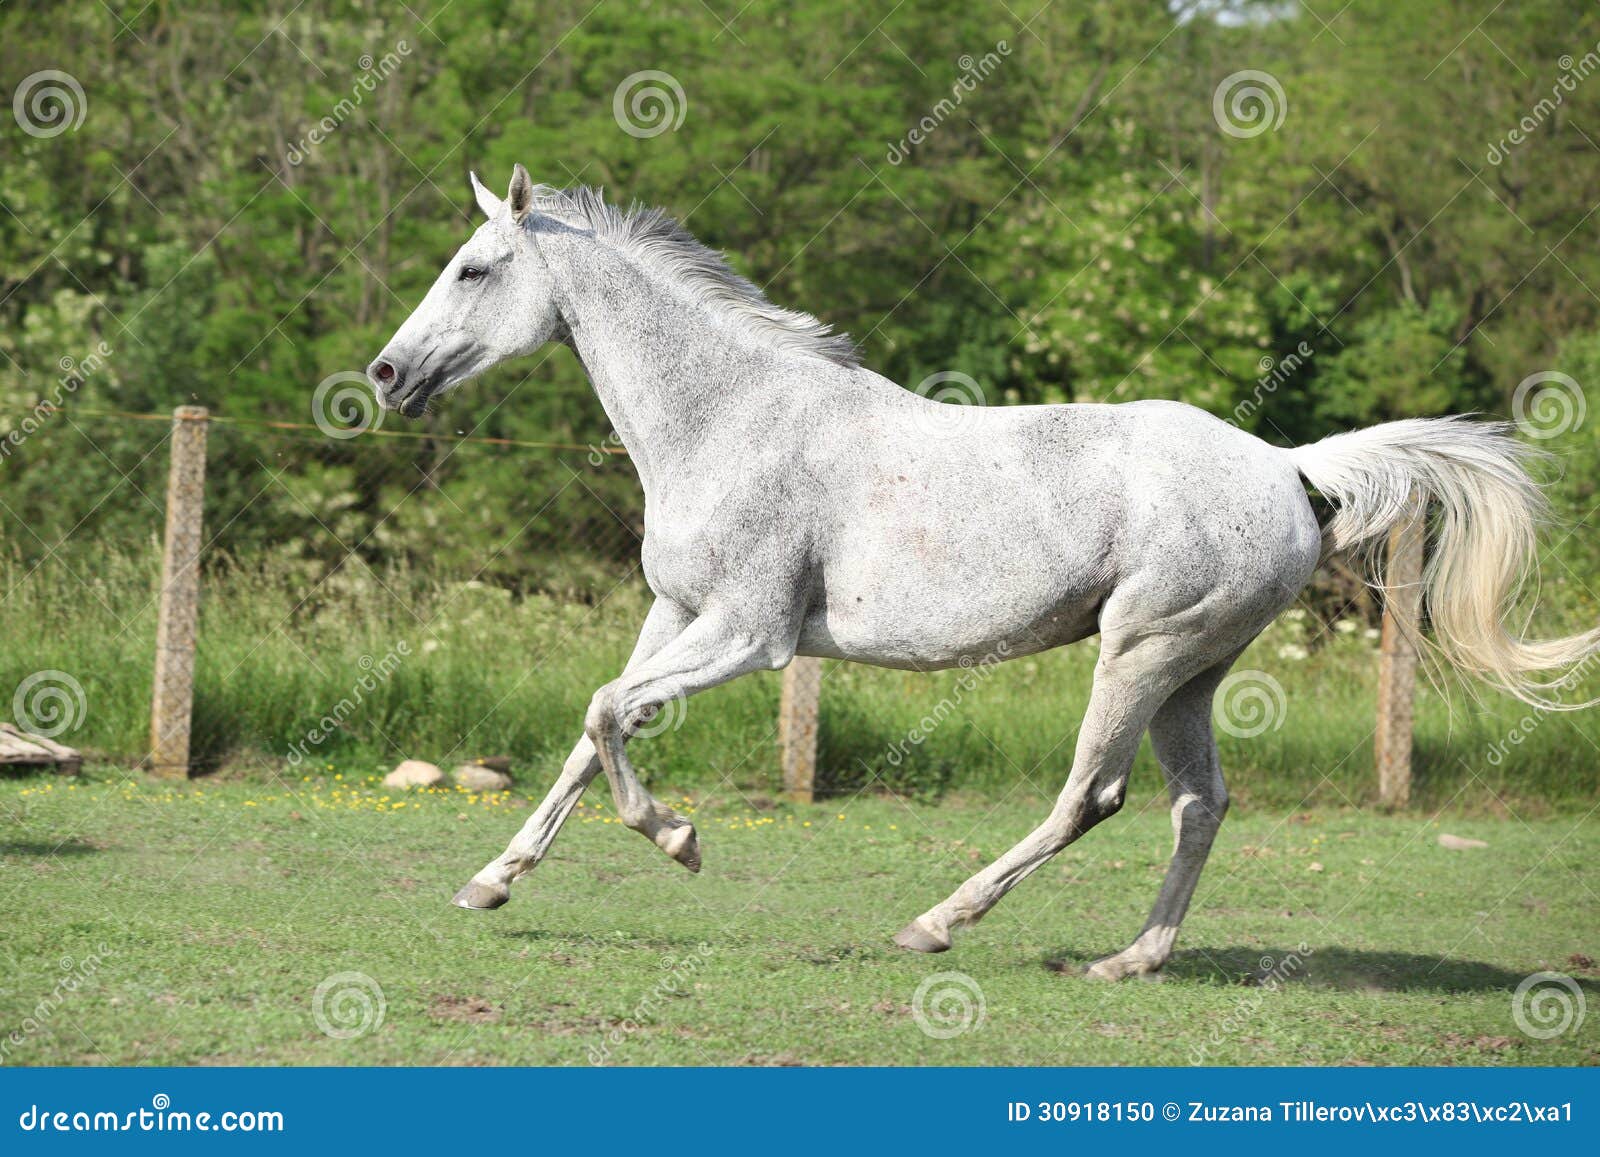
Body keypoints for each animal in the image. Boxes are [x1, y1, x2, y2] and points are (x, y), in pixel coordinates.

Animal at [365, 164, 1598, 979]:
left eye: (474, 268)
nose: (383, 373)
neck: (727, 417)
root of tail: (1288, 467)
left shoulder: (751, 631)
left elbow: (606, 712)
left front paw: (679, 840)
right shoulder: (675, 609)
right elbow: (593, 727)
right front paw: (491, 880)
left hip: (1139, 650)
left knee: (1093, 795)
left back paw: (937, 922)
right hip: (1190, 671)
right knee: (1199, 803)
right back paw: (1129, 961)